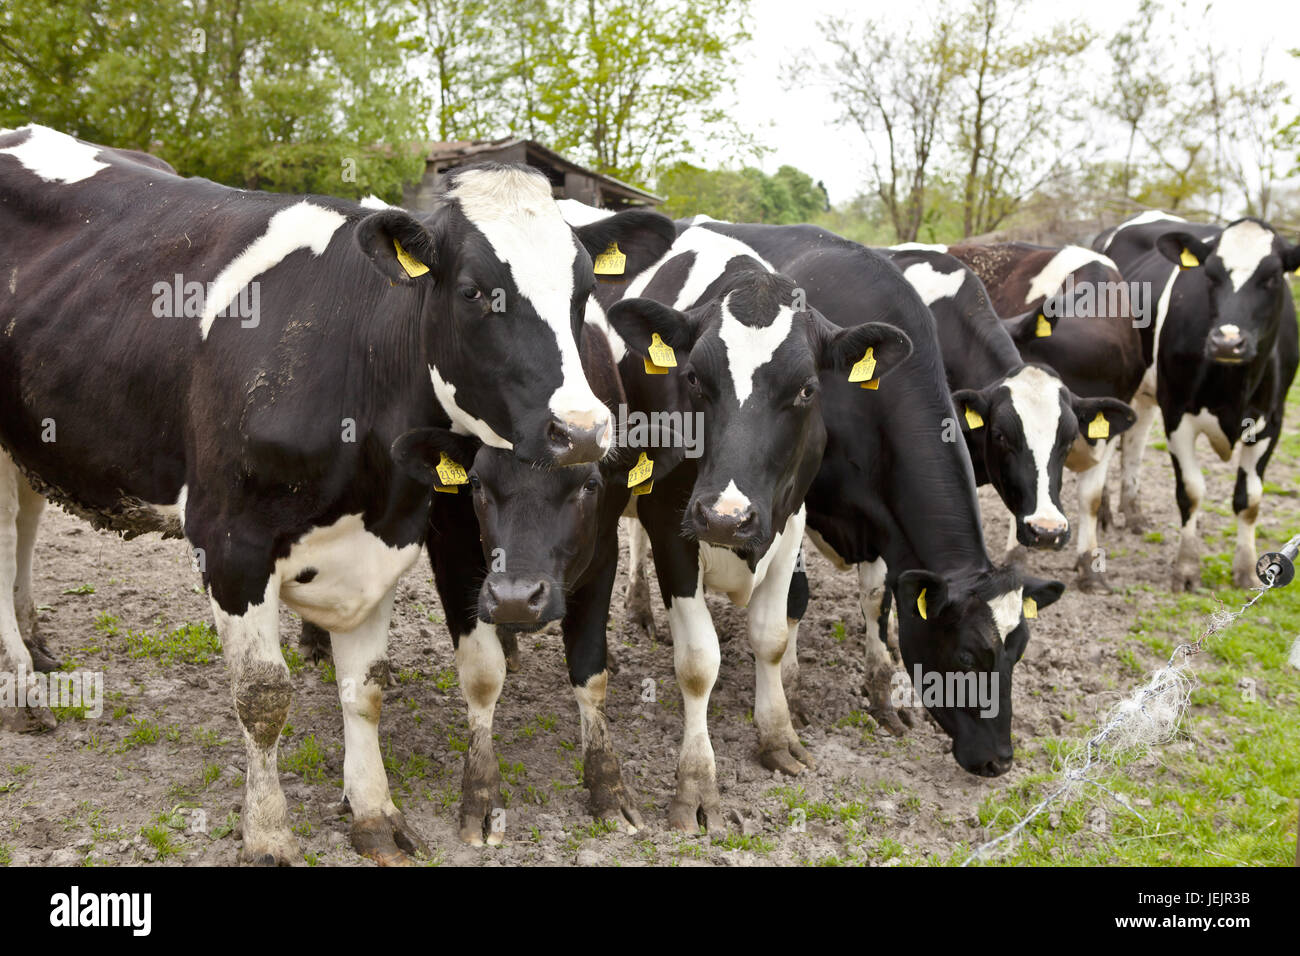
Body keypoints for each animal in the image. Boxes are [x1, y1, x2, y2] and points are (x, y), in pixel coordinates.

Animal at [0, 124, 670, 864]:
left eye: (585, 293)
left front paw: (374, 813)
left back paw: (38, 647)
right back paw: (22, 691)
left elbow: (365, 690)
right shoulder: (229, 540)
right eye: (473, 291)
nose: (580, 429)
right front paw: (267, 833)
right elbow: (261, 697)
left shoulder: (386, 539)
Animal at [1093, 211, 1300, 590]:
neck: (1235, 387)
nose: (1227, 342)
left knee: (1135, 441)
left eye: (1272, 277)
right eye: (1211, 275)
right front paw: (1187, 569)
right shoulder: (1178, 415)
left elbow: (1250, 499)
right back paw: (1105, 512)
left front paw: (1247, 570)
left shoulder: (1271, 423)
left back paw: (1134, 513)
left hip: (1147, 392)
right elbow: (1190, 491)